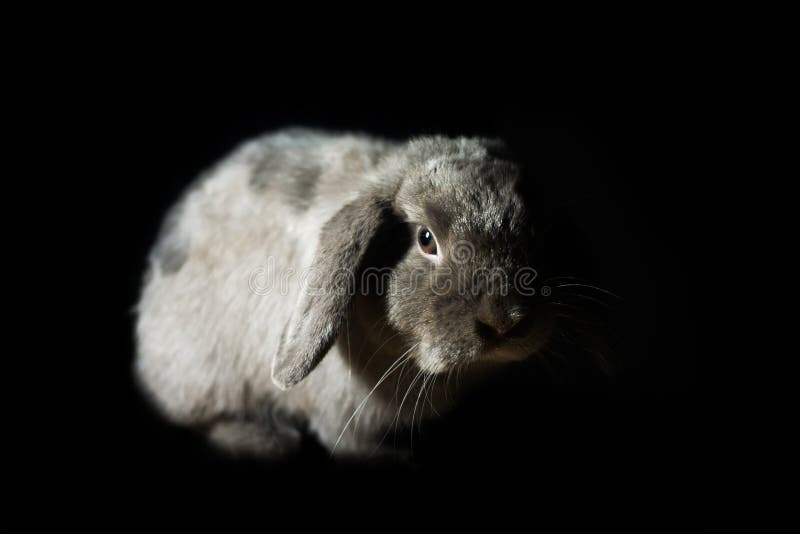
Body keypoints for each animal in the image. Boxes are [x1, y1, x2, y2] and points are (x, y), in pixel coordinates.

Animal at [134, 127, 557, 458]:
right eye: (425, 239)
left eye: (532, 230)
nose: (504, 321)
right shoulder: (341, 412)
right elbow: (346, 441)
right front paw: (392, 459)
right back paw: (260, 439)